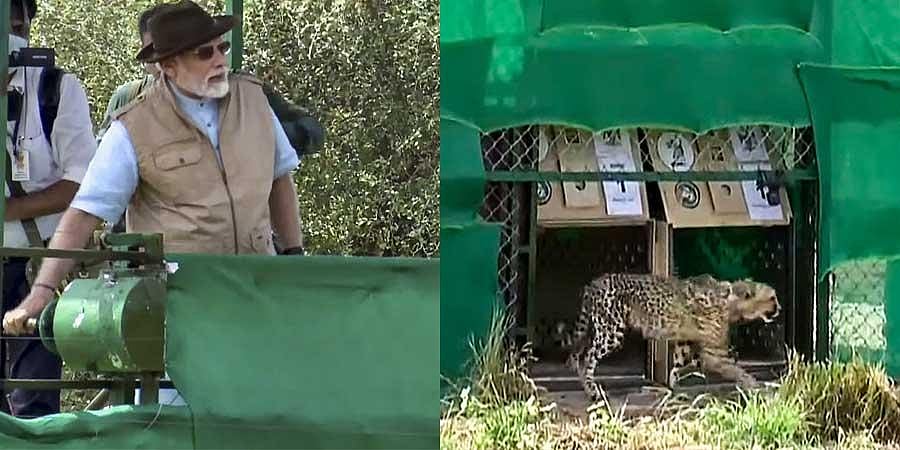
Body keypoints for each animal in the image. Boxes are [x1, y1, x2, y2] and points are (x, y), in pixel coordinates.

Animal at [555, 272, 780, 401]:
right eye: (772, 298)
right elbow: (735, 369)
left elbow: (680, 364)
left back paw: (580, 379)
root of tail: (594, 282)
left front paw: (674, 387)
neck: (731, 301)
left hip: (597, 329)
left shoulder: (685, 340)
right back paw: (592, 392)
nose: (779, 308)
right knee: (587, 358)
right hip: (610, 333)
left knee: (577, 352)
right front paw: (755, 385)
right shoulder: (714, 354)